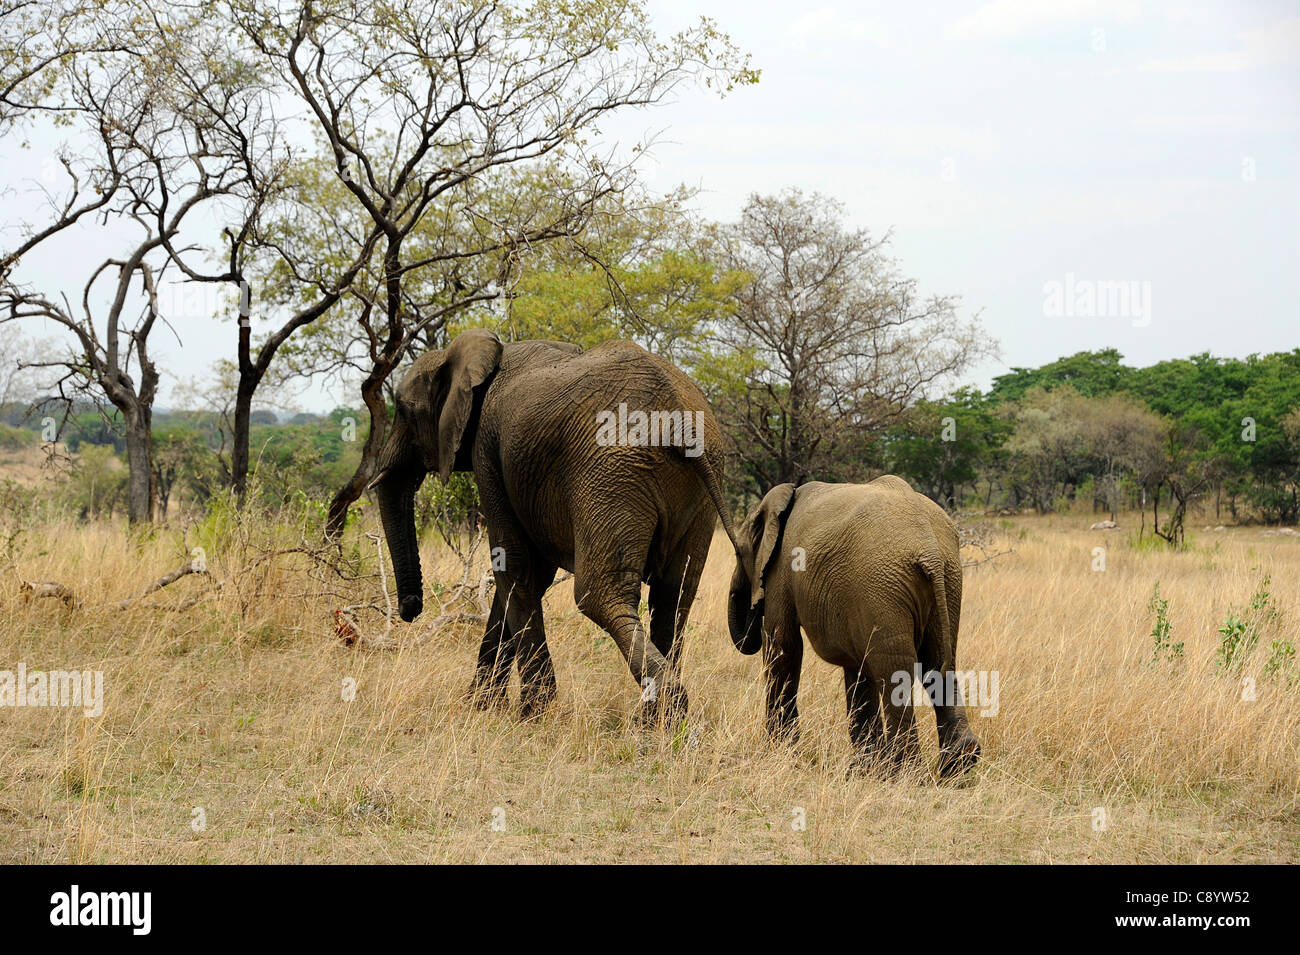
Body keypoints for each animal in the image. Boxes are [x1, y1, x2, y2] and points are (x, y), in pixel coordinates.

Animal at [370, 328, 739, 722]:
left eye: (404, 411)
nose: (411, 609)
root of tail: (678, 419)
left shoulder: (489, 452)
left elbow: (515, 566)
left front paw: (531, 712)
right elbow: (524, 576)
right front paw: (480, 706)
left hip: (612, 473)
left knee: (601, 595)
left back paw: (668, 706)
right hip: (698, 483)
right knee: (674, 595)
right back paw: (657, 720)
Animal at [728, 476, 982, 779]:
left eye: (738, 553)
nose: (753, 609)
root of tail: (929, 547)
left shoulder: (782, 568)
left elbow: (783, 646)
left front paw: (782, 751)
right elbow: (858, 667)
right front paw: (863, 769)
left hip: (883, 586)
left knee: (895, 670)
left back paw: (904, 773)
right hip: (948, 580)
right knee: (939, 661)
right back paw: (959, 763)